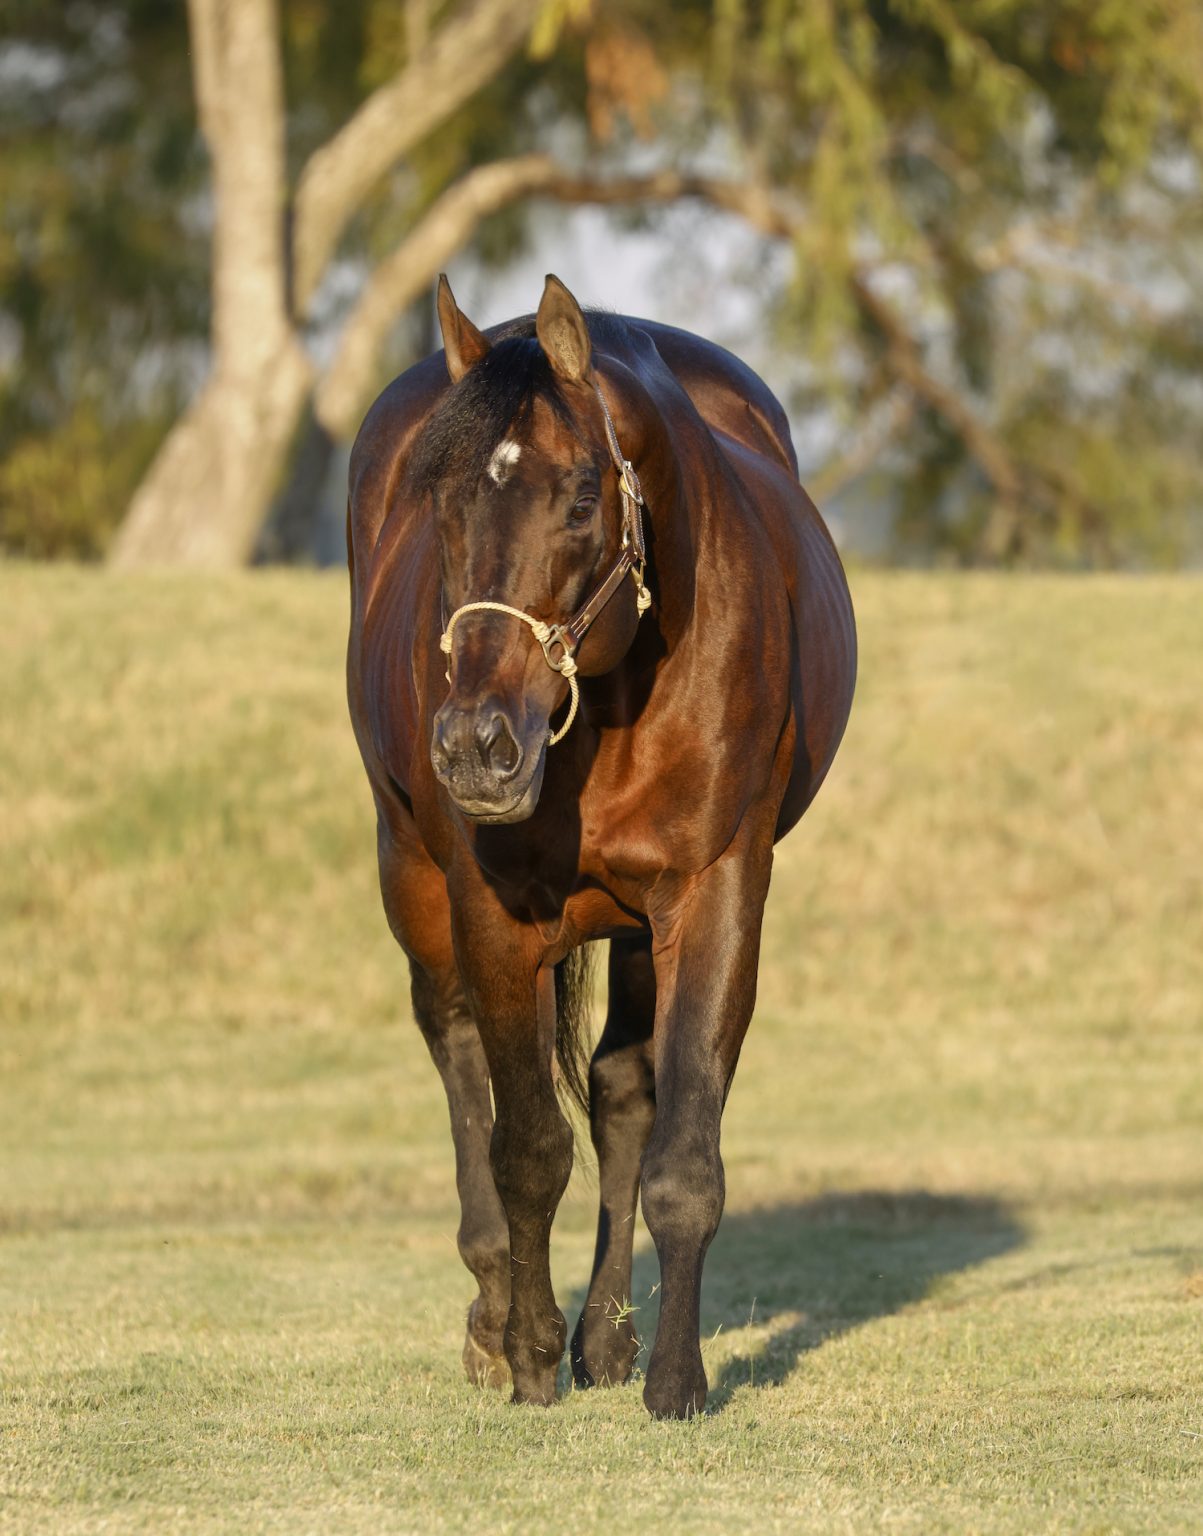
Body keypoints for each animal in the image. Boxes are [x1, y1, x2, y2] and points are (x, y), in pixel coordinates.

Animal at [346, 273, 856, 1418]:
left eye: (583, 497)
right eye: (439, 502)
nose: (475, 749)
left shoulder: (716, 893)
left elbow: (680, 1155)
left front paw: (669, 1377)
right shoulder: (494, 913)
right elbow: (527, 1145)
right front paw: (532, 1355)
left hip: (628, 923)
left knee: (622, 1090)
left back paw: (608, 1340)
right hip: (413, 876)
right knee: (457, 1055)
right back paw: (496, 1322)